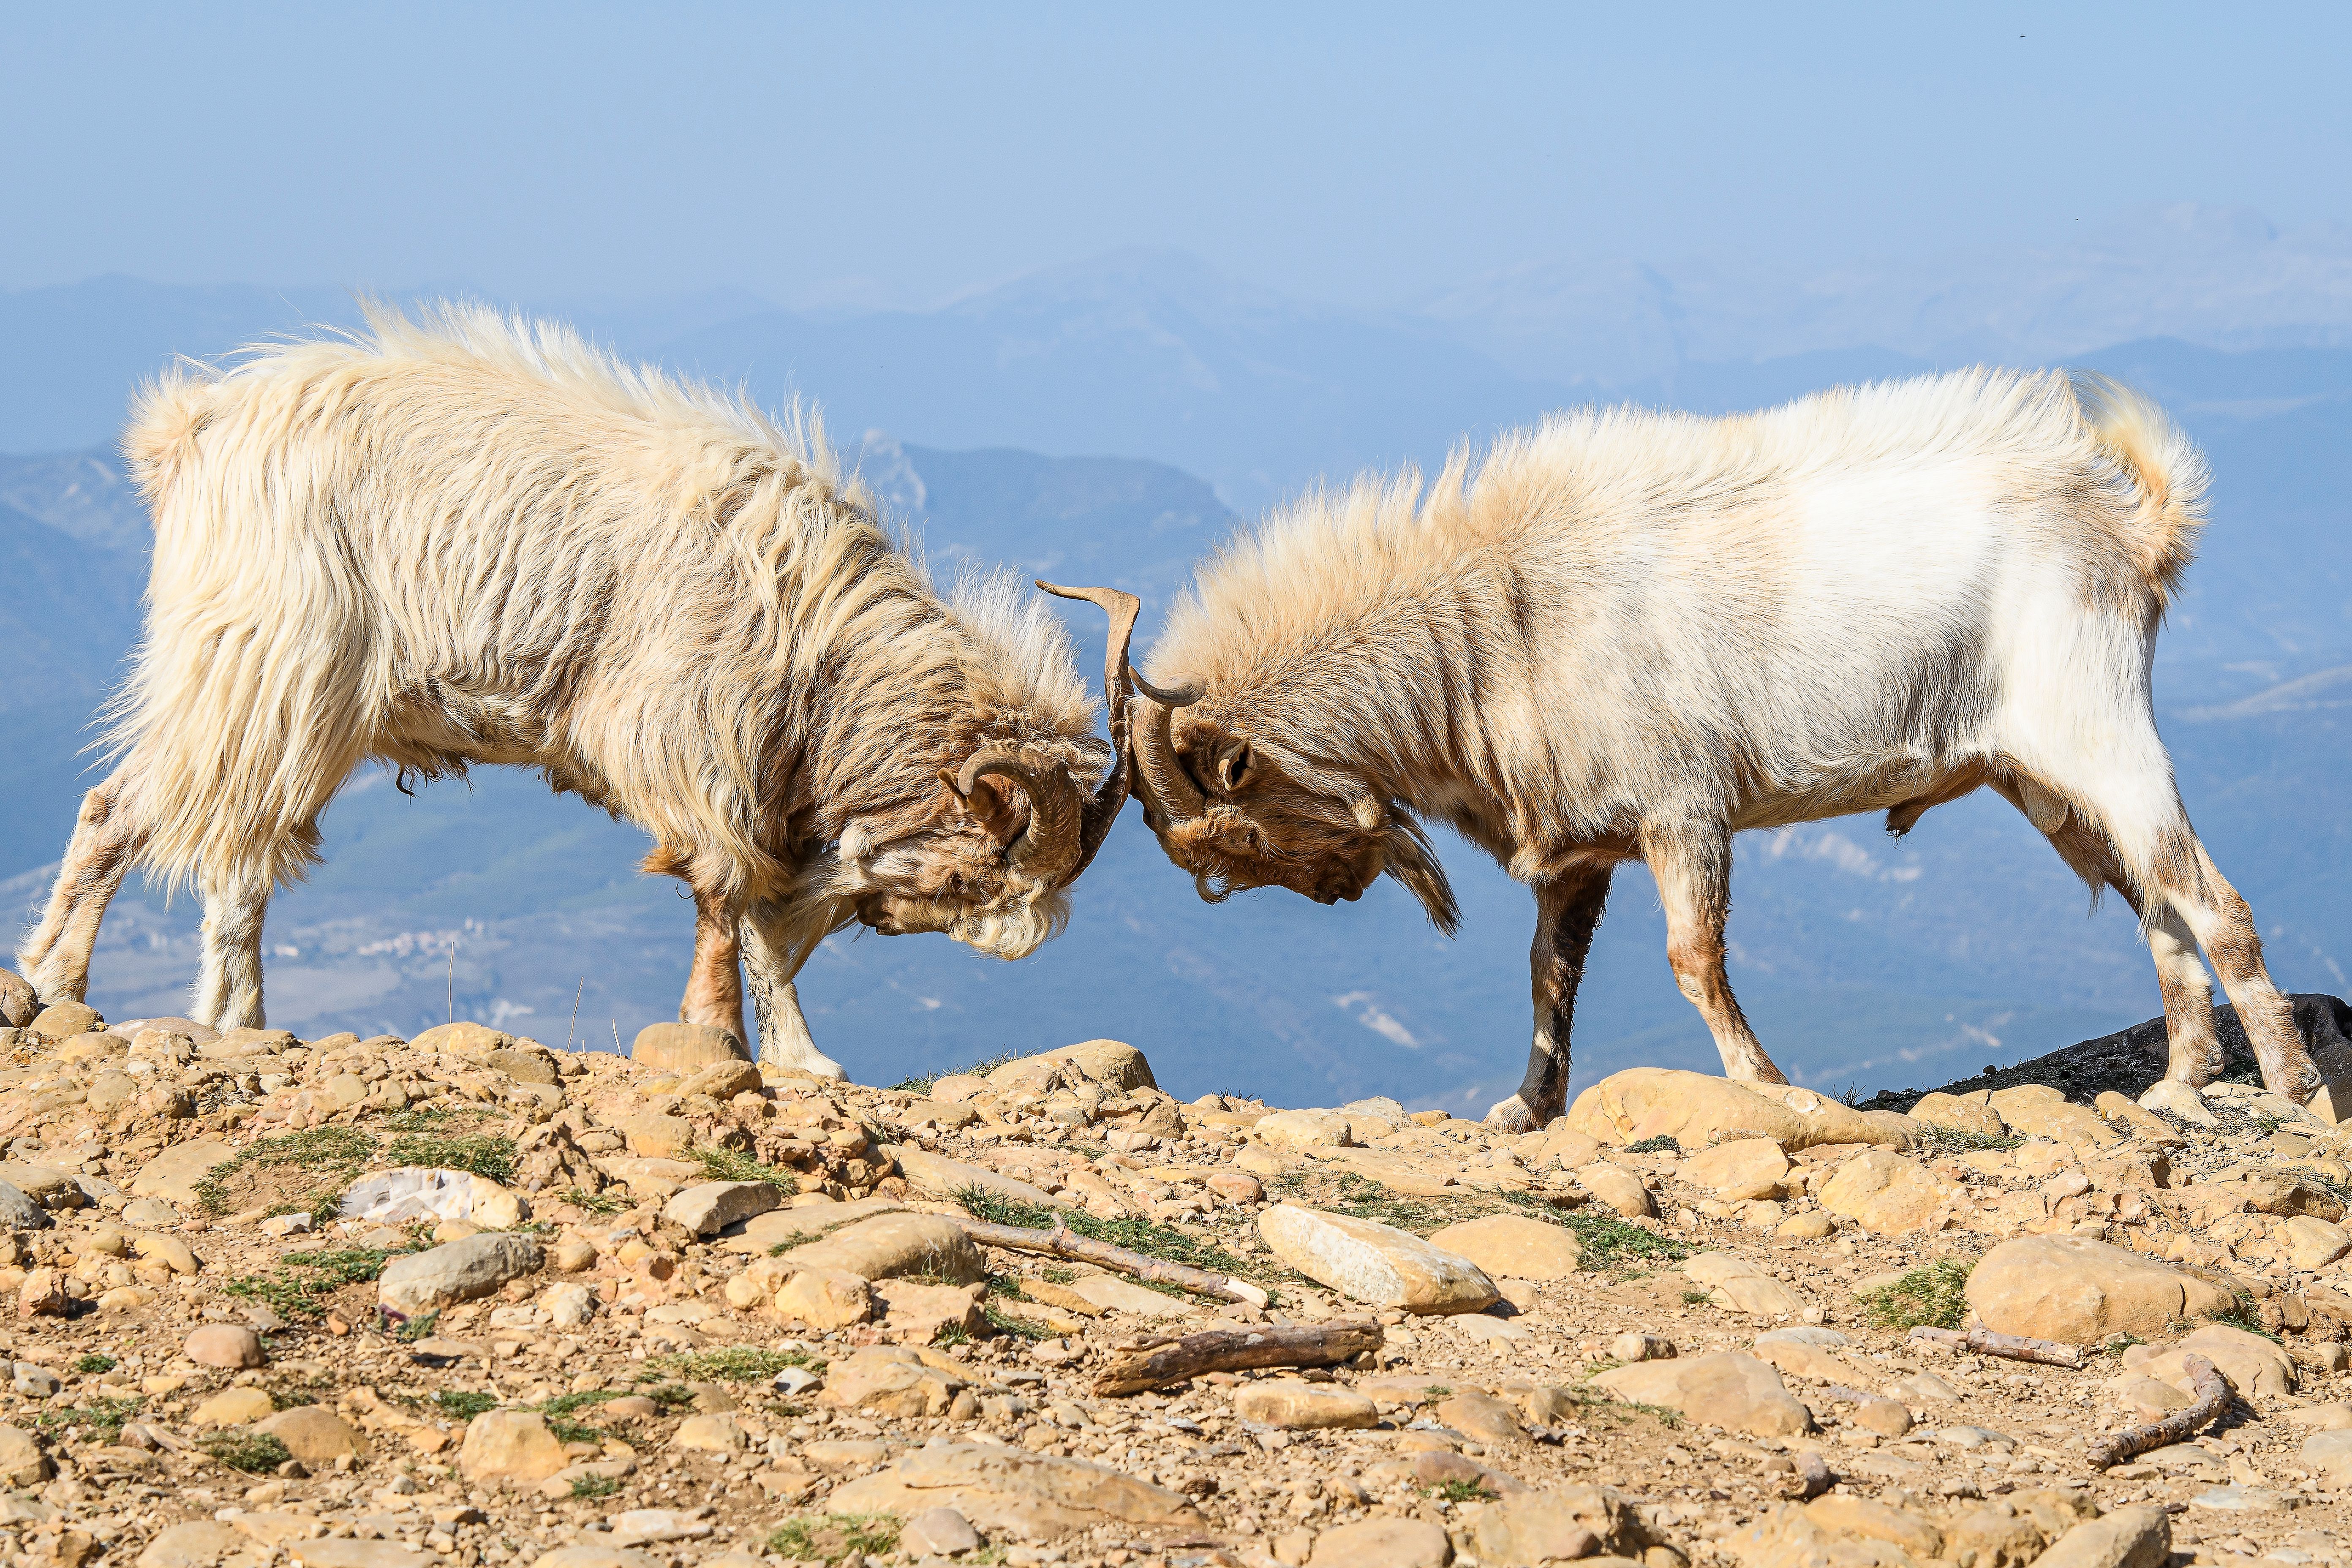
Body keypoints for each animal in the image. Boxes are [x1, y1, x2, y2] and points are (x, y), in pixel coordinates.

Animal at [16, 304, 1139, 1076]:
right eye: (973, 877)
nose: (903, 927)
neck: (815, 638)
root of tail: (190, 427)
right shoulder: (695, 746)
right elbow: (727, 900)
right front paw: (721, 1039)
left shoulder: (763, 790)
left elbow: (765, 920)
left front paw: (799, 1056)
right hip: (269, 662)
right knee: (160, 820)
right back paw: (102, 991)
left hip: (279, 695)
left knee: (212, 841)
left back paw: (184, 1009)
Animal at [1124, 369, 2320, 1128]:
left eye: (1233, 835)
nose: (1336, 895)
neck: (1499, 620)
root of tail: (2132, 529)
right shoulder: (1583, 848)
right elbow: (1547, 973)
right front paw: (1525, 1107)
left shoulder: (1682, 811)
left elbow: (1694, 959)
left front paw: (1767, 1080)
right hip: (2039, 778)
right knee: (2153, 899)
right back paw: (2180, 1083)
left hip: (2097, 723)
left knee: (2210, 897)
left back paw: (2293, 1084)